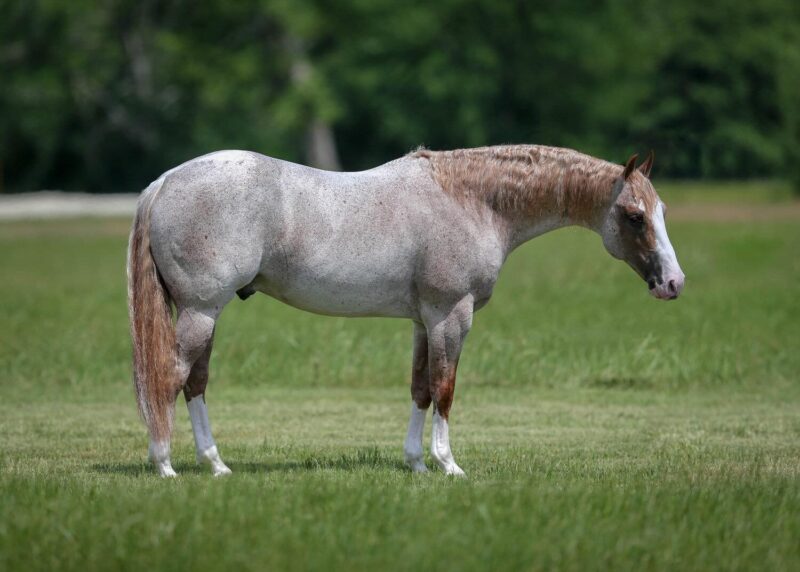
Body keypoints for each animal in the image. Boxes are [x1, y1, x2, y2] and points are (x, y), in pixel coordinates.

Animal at [127, 145, 685, 477]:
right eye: (634, 216)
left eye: (659, 212)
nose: (673, 284)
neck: (471, 200)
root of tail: (165, 181)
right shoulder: (451, 316)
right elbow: (445, 389)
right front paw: (449, 465)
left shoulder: (424, 321)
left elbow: (420, 388)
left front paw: (416, 464)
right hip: (201, 310)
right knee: (170, 377)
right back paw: (166, 466)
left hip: (206, 314)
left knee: (194, 383)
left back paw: (216, 465)